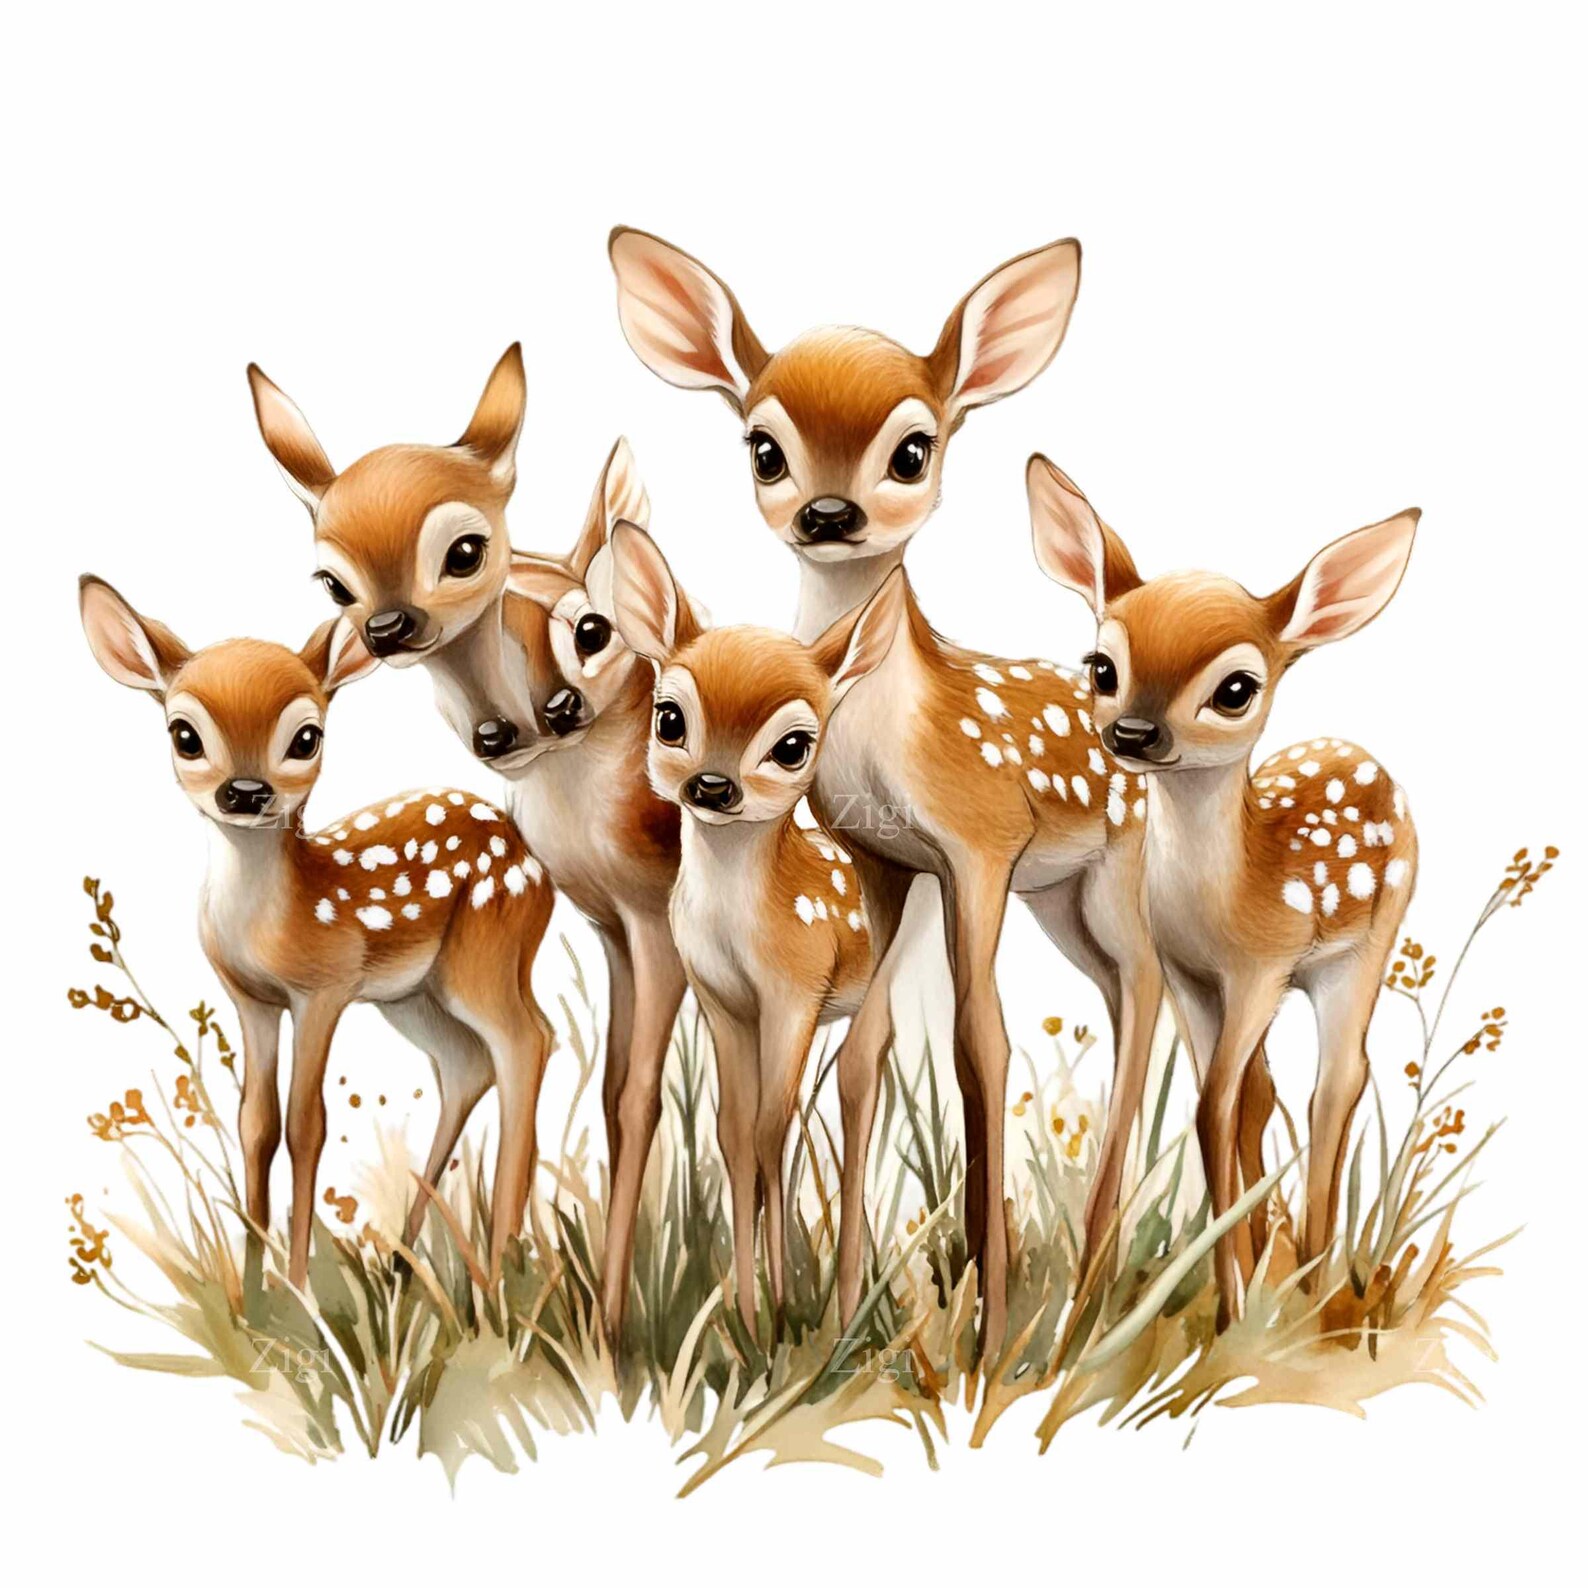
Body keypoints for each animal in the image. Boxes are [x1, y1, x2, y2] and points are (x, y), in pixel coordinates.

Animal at [78, 575, 556, 1289]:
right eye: (184, 734)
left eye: (305, 738)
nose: (245, 791)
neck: (276, 919)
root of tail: (535, 863)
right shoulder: (250, 999)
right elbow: (256, 1124)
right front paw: (253, 1288)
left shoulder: (324, 988)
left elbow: (308, 1126)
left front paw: (300, 1283)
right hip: (416, 997)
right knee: (468, 1067)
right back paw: (409, 1260)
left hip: (486, 954)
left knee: (526, 1043)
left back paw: (497, 1269)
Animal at [246, 346, 695, 1344]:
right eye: (333, 584)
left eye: (463, 549)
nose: (386, 628)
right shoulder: (610, 925)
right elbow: (614, 1092)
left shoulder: (660, 920)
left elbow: (640, 1093)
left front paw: (608, 1324)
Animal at [607, 521, 902, 1335]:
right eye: (670, 718)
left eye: (793, 745)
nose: (712, 785)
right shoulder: (720, 997)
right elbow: (735, 1133)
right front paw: (741, 1310)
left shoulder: (794, 989)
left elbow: (774, 1130)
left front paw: (777, 1311)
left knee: (860, 1081)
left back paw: (843, 1308)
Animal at [1026, 453, 1421, 1326]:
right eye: (1102, 668)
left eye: (1235, 688)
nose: (1133, 734)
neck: (1226, 899)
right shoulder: (1188, 975)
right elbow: (1229, 1103)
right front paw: (1229, 1285)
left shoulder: (1260, 969)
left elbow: (1214, 1104)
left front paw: (1237, 1308)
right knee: (1273, 1091)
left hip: (1366, 945)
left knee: (1338, 1083)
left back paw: (1316, 1282)